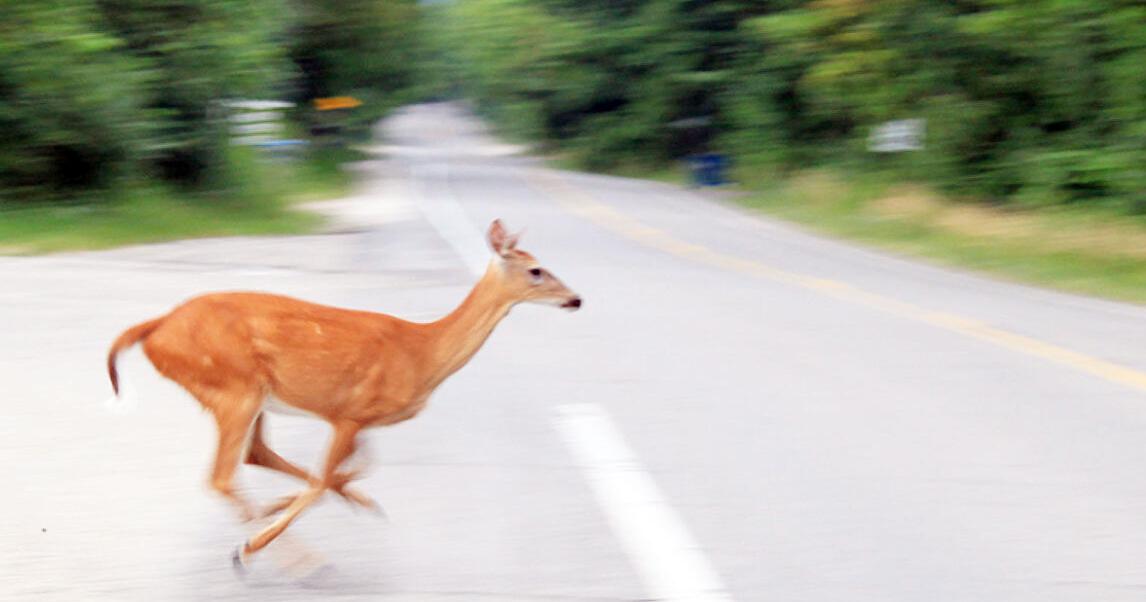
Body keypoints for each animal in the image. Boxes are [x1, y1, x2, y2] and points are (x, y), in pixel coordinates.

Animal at [104, 220, 581, 570]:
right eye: (536, 270)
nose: (576, 299)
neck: (423, 354)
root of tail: (156, 328)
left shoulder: (359, 418)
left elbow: (356, 467)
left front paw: (353, 498)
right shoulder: (350, 412)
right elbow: (326, 480)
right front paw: (256, 541)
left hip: (250, 394)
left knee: (254, 454)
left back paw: (273, 515)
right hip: (234, 386)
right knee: (223, 475)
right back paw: (281, 554)